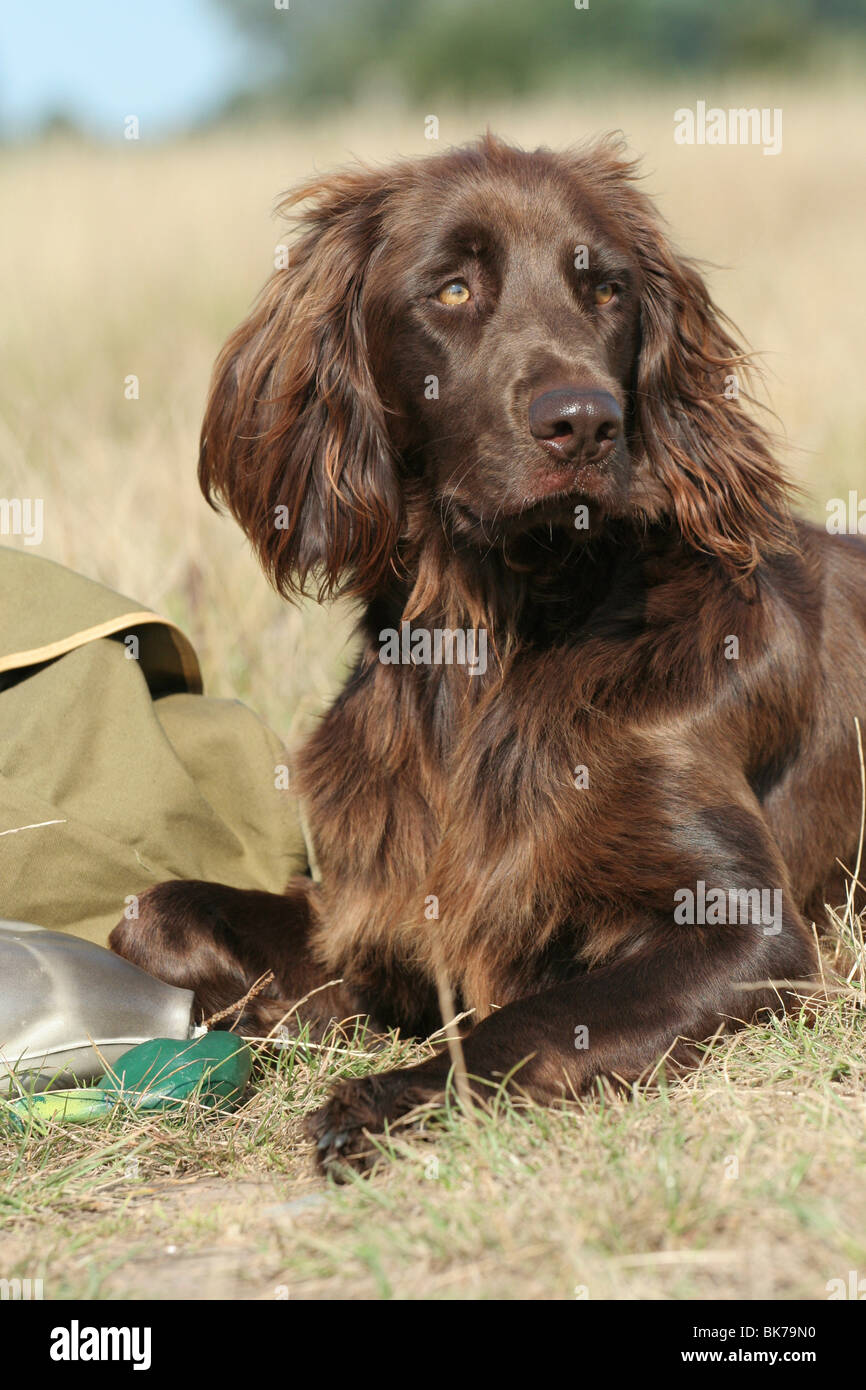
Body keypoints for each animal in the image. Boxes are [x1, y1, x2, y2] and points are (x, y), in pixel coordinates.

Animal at [109, 135, 866, 1167]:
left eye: (608, 289)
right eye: (455, 289)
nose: (584, 422)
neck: (494, 643)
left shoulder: (746, 931)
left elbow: (530, 1016)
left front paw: (379, 1100)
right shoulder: (374, 901)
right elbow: (152, 911)